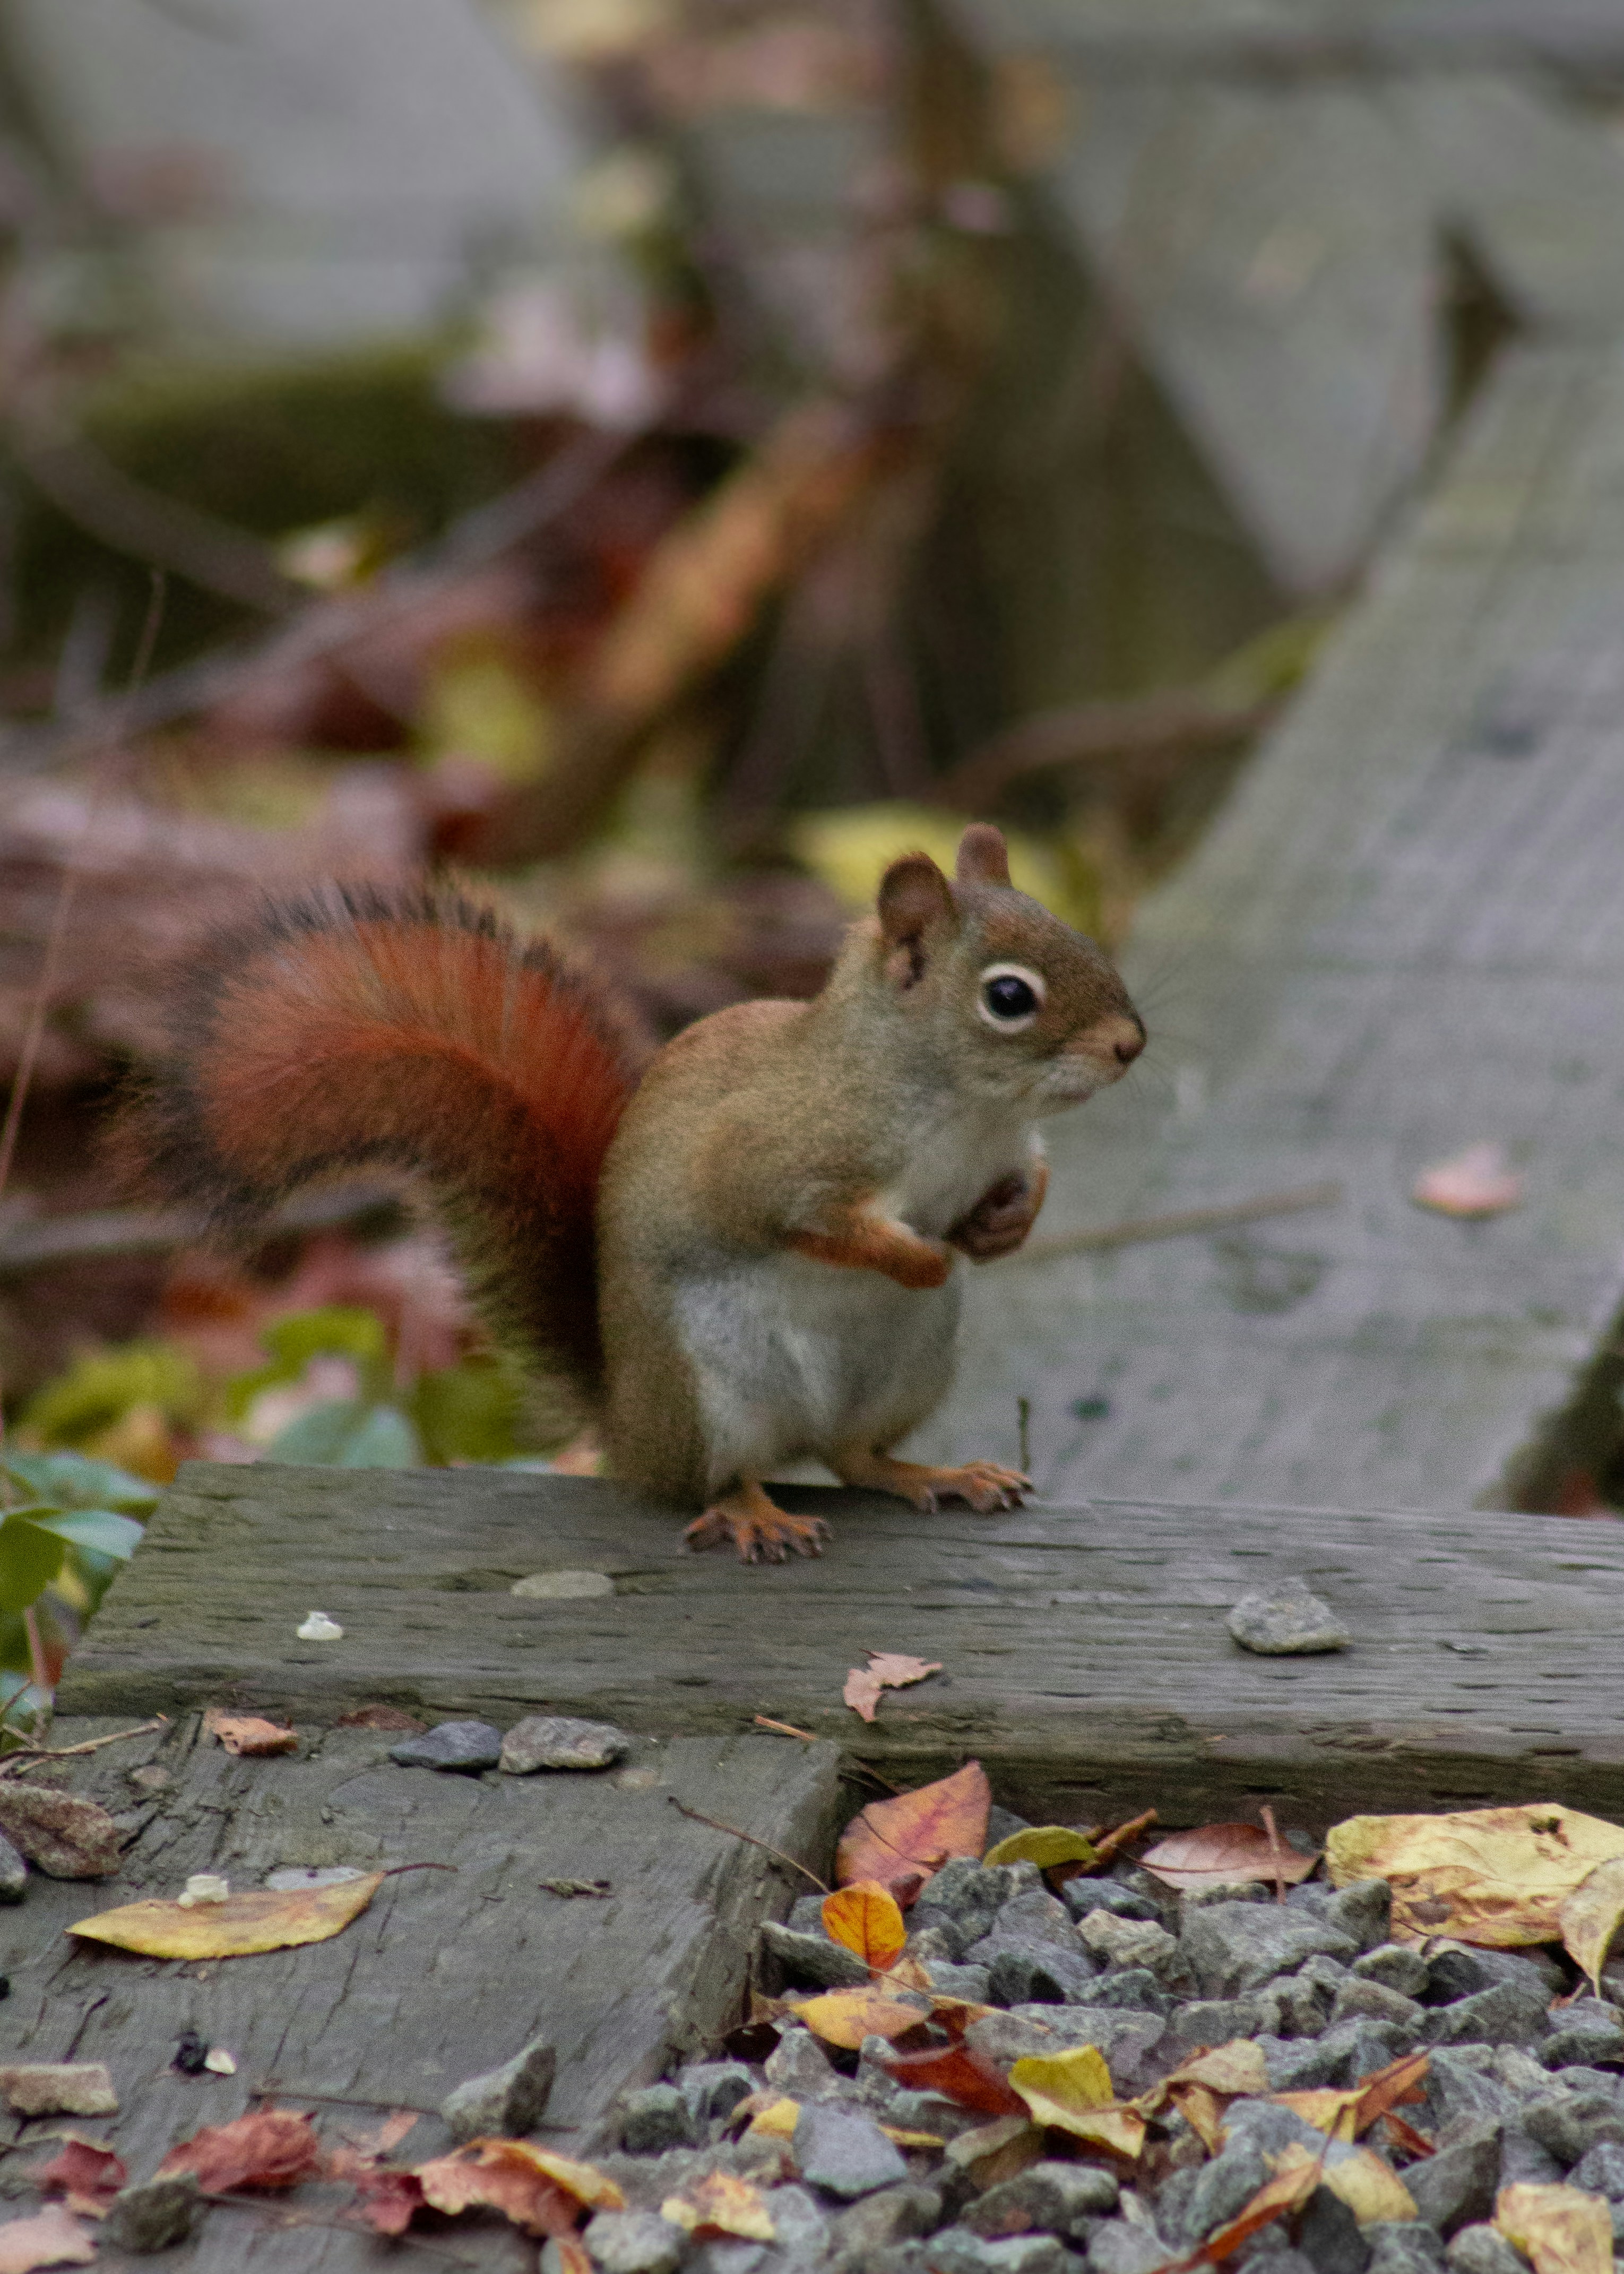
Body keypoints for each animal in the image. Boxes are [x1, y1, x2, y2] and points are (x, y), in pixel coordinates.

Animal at [112, 822, 1143, 1561]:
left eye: (1079, 936)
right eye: (1008, 997)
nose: (1132, 1044)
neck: (966, 1108)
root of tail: (627, 1426)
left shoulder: (1008, 1148)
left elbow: (1031, 1179)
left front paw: (1005, 1225)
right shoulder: (775, 1154)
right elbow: (799, 1218)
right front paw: (918, 1255)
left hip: (906, 1370)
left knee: (855, 1457)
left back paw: (937, 1473)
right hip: (708, 1385)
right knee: (710, 1478)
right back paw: (754, 1511)